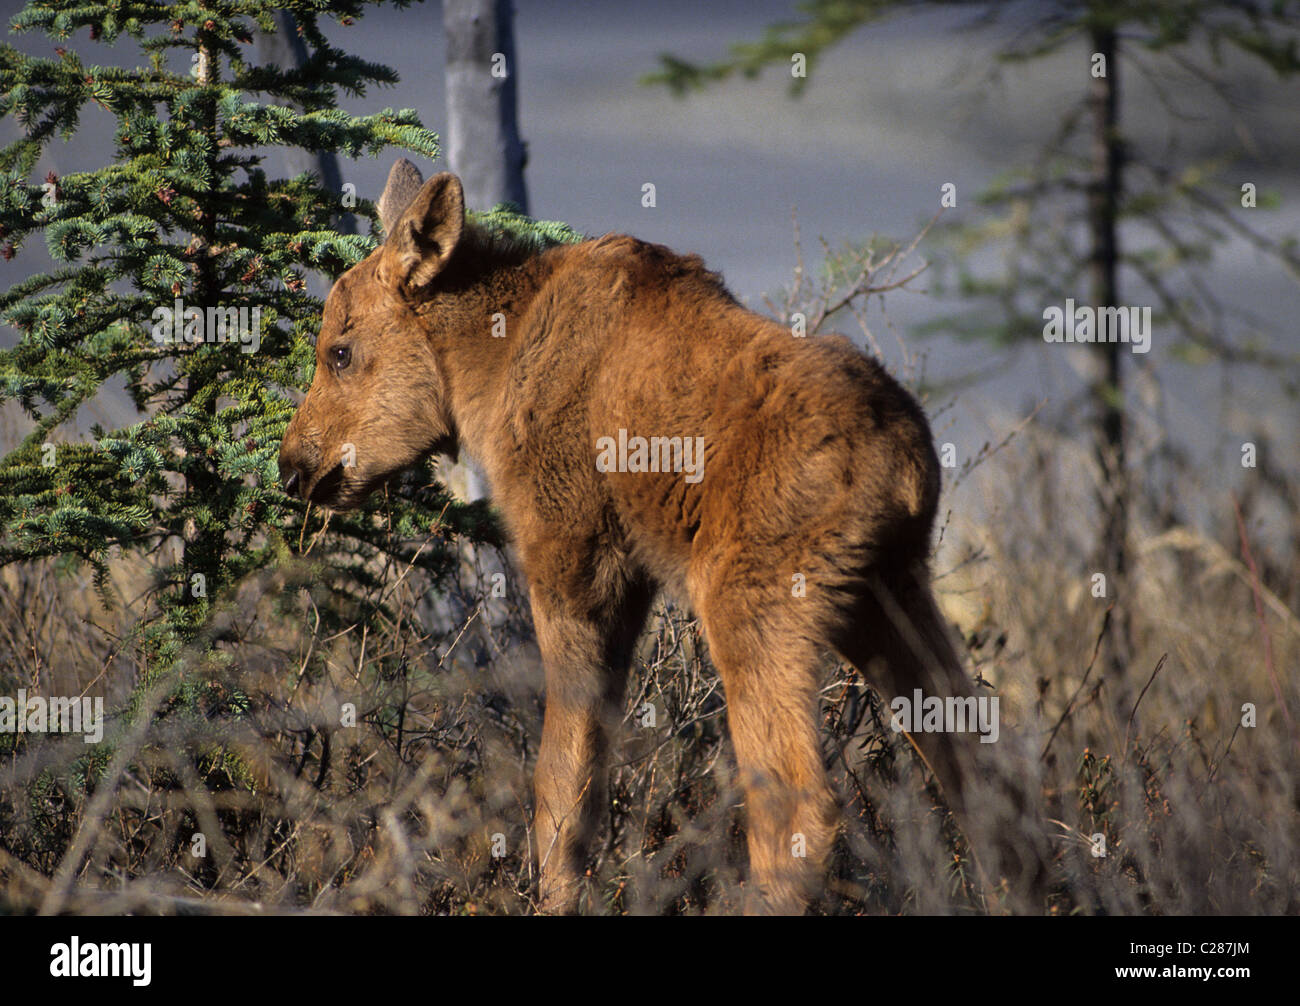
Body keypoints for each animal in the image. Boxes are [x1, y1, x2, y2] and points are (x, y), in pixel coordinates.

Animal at [278, 160, 1045, 914]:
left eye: (340, 351)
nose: (290, 467)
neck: (482, 375)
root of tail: (907, 462)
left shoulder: (572, 554)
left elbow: (560, 778)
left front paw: (557, 896)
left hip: (753, 599)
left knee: (799, 805)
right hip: (888, 593)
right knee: (983, 775)